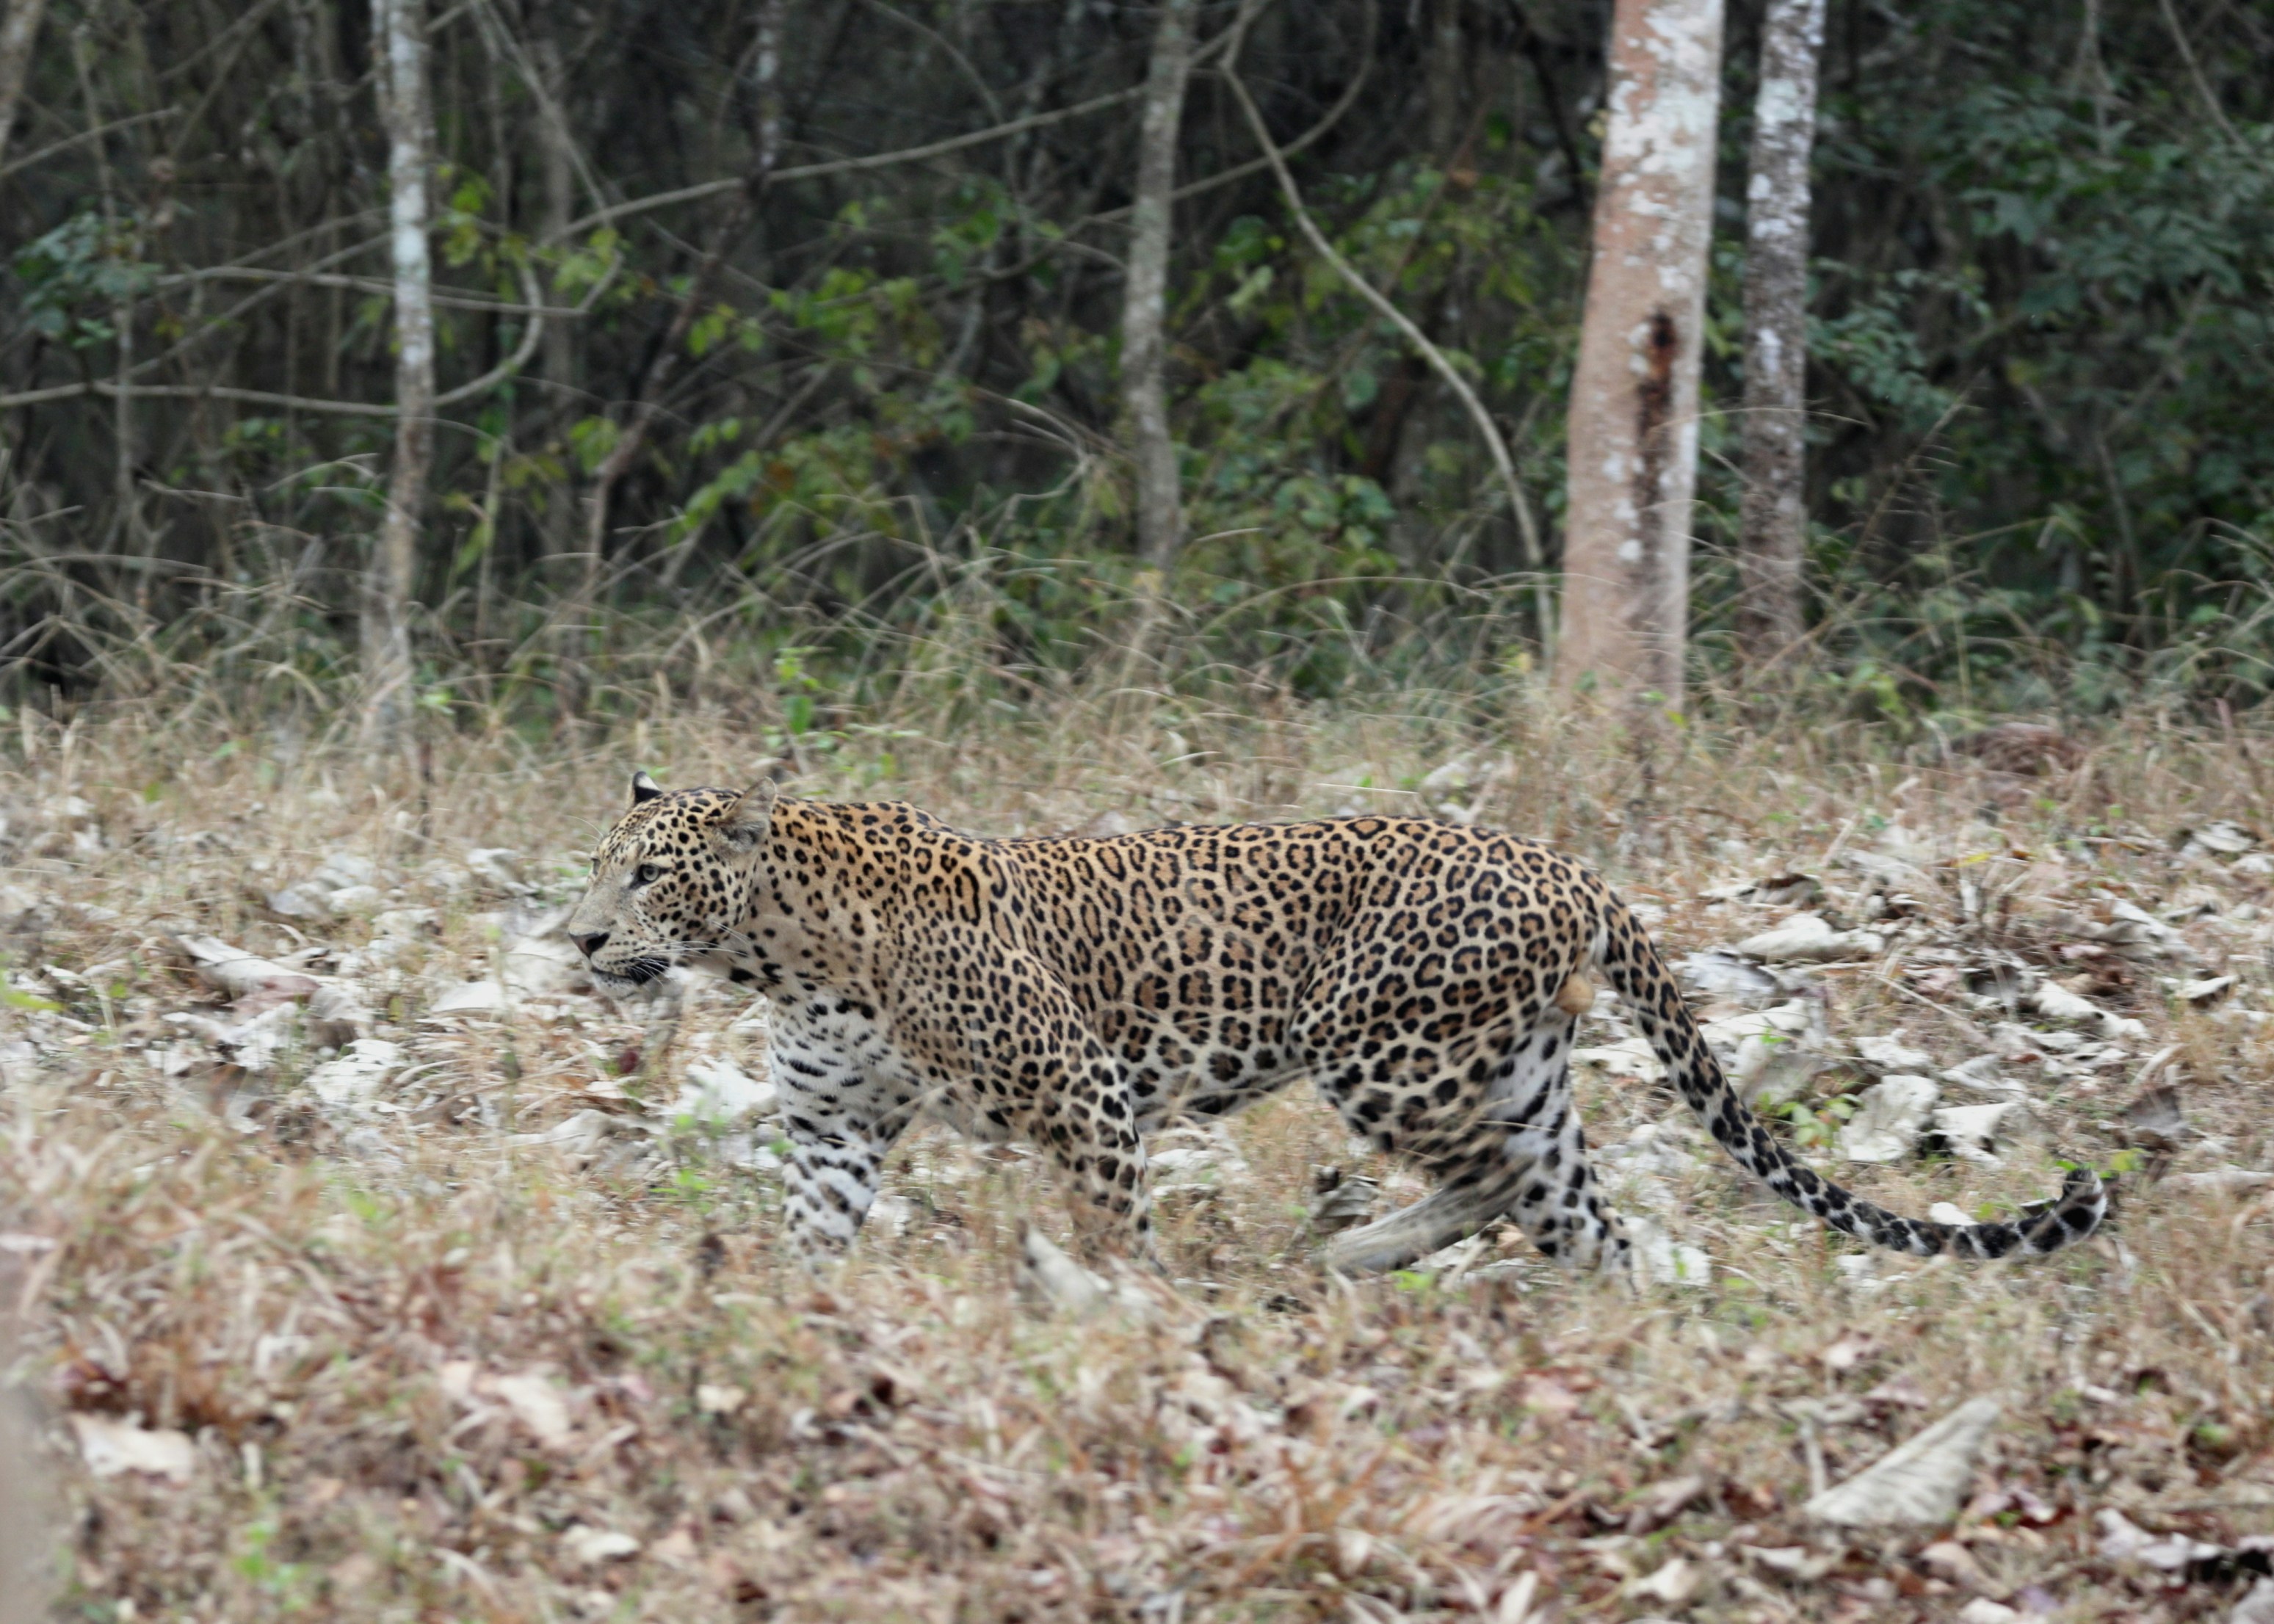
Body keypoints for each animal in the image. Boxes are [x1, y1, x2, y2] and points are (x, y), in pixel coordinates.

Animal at [565, 772, 2107, 1275]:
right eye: (600, 863)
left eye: (646, 873)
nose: (577, 936)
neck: (784, 956)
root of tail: (1568, 865)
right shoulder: (832, 1122)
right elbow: (809, 1235)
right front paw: (789, 1314)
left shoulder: (1079, 1089)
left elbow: (1108, 1226)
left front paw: (1119, 1310)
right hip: (1511, 1070)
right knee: (1574, 1212)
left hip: (1386, 1052)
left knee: (1494, 1183)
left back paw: (1349, 1254)